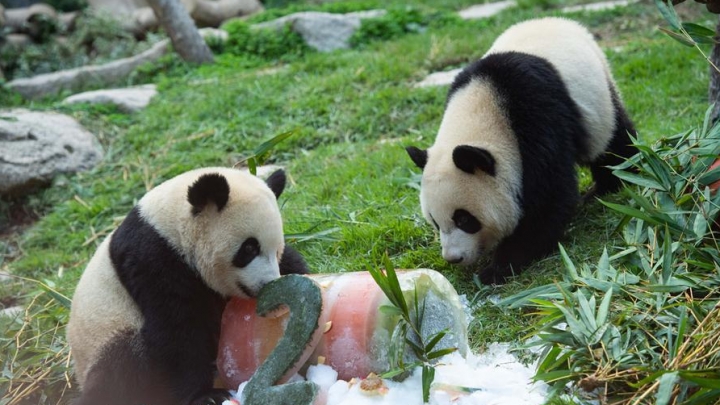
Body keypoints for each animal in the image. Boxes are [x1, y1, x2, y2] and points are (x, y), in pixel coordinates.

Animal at [67, 167, 308, 405]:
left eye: (276, 249)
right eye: (249, 248)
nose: (268, 284)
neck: (170, 227)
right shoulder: (153, 261)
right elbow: (178, 330)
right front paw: (206, 396)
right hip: (108, 333)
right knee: (122, 365)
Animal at [405, 17, 637, 284]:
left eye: (464, 219)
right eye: (434, 221)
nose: (454, 258)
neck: (486, 104)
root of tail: (560, 21)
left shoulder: (537, 115)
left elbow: (550, 195)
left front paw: (499, 266)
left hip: (598, 95)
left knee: (611, 142)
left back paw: (612, 182)